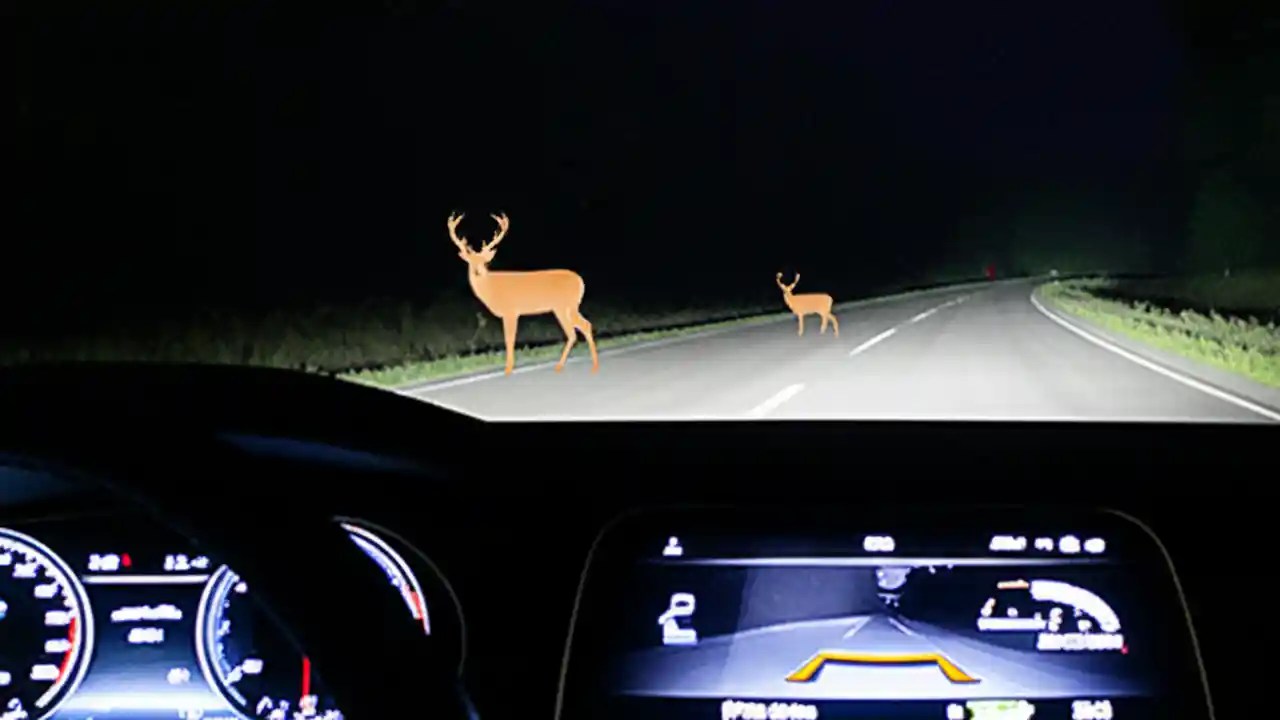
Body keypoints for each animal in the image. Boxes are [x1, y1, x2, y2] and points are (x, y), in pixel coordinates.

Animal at [448, 212, 599, 375]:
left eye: (484, 261)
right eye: (470, 262)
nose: (477, 271)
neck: (492, 287)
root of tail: (580, 281)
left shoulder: (510, 311)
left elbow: (509, 339)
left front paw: (508, 368)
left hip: (564, 305)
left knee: (576, 330)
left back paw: (576, 366)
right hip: (568, 307)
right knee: (583, 326)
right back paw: (584, 365)